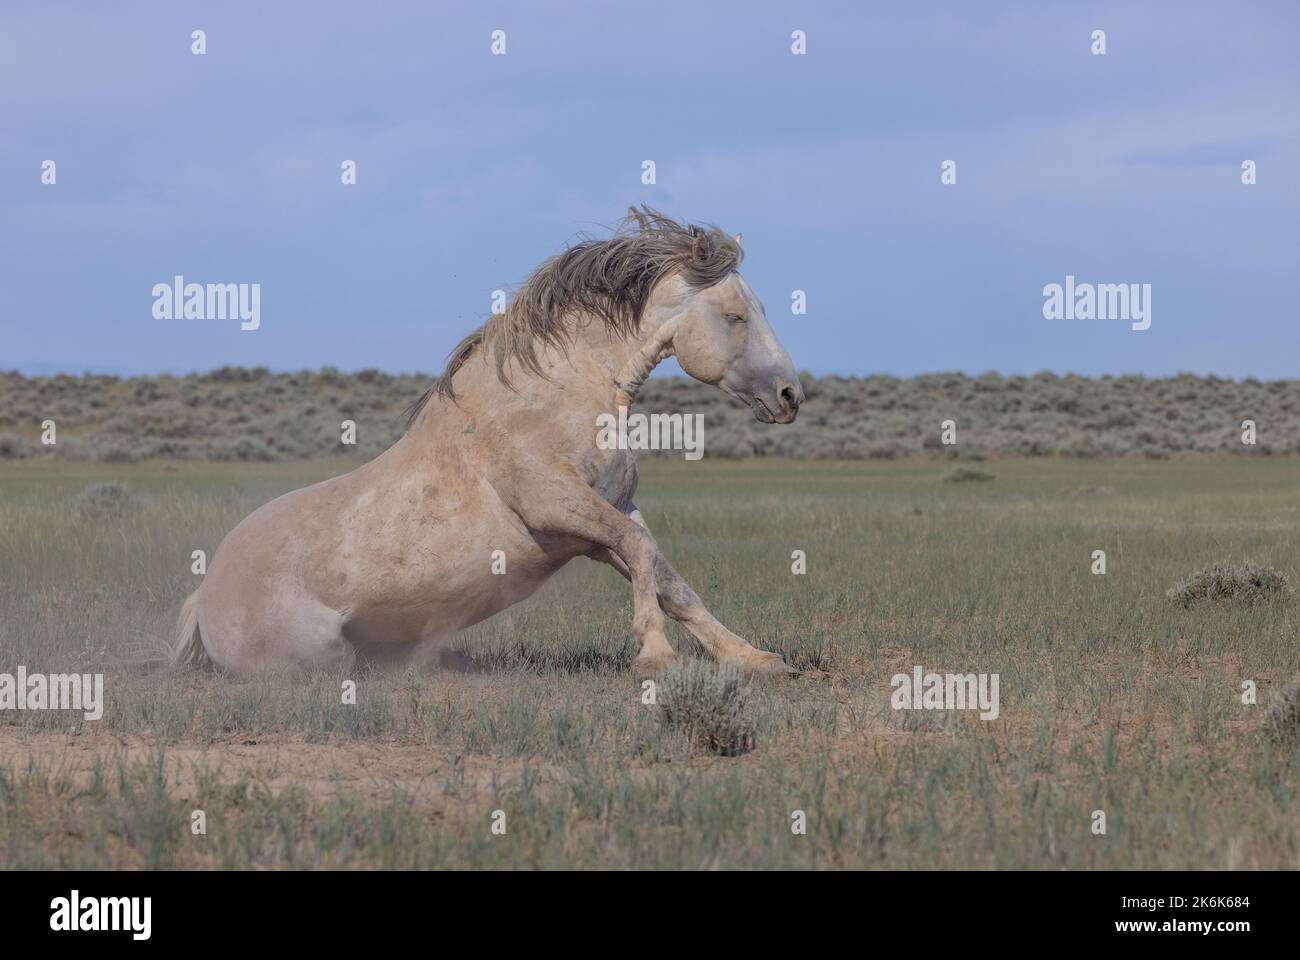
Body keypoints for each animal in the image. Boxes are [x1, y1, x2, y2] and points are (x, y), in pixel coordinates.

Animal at [173, 207, 804, 677]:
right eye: (736, 316)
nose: (790, 394)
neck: (545, 402)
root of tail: (203, 600)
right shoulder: (561, 507)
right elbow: (645, 556)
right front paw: (656, 656)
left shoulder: (610, 515)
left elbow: (671, 580)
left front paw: (754, 659)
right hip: (322, 655)